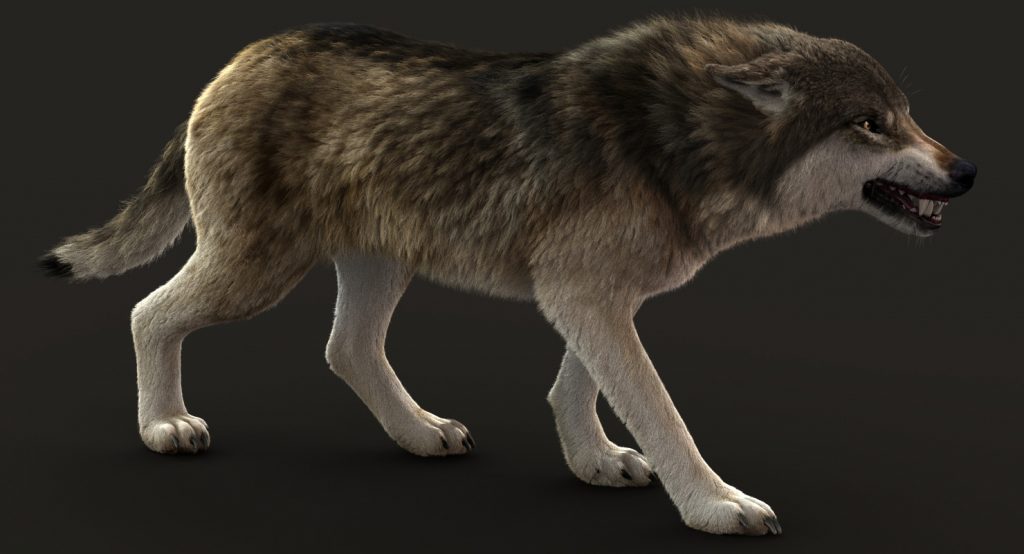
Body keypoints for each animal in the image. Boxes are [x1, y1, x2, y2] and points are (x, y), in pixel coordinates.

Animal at [40, 15, 975, 535]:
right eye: (870, 123)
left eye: (908, 116)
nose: (966, 173)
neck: (681, 138)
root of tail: (235, 60)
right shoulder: (586, 294)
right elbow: (664, 416)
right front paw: (716, 508)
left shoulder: (593, 294)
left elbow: (579, 389)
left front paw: (594, 463)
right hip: (255, 269)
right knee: (147, 312)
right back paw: (164, 426)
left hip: (379, 264)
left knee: (347, 351)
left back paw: (419, 434)